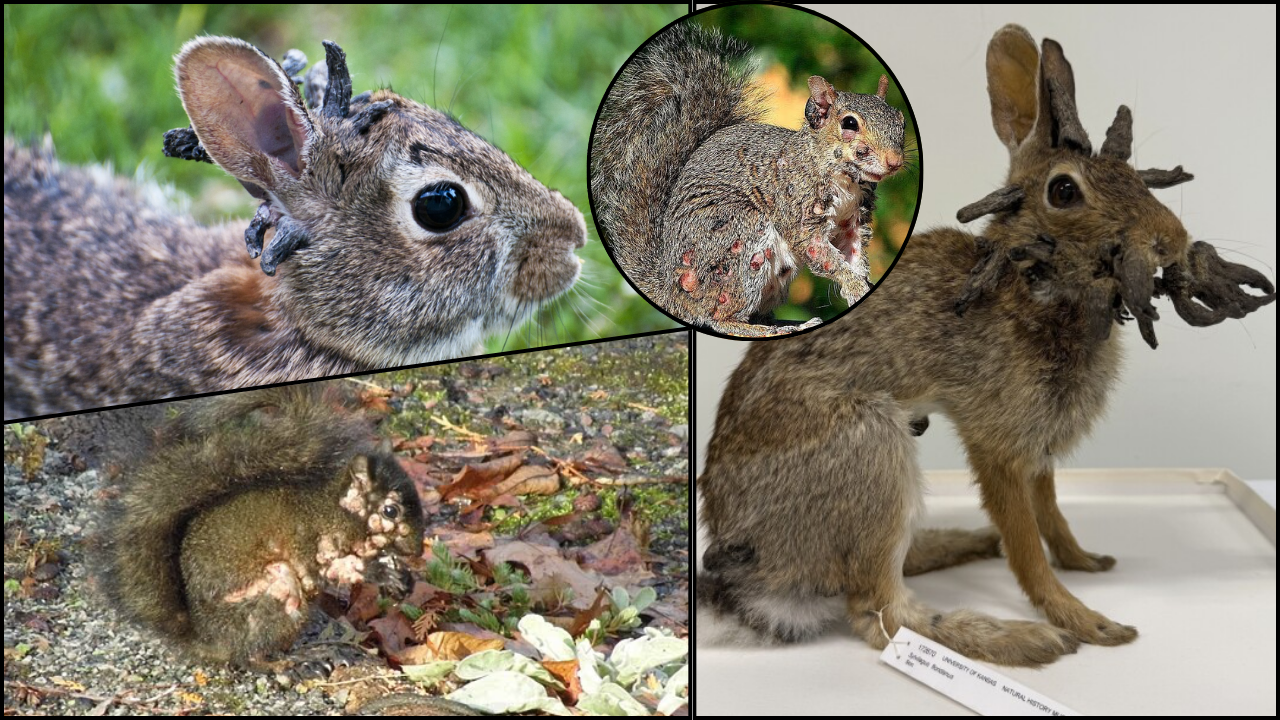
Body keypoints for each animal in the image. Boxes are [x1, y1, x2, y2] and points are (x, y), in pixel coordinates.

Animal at [95, 385, 427, 671]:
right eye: (390, 510)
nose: (418, 549)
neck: (338, 511)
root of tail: (209, 641)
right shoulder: (313, 541)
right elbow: (331, 571)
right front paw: (378, 571)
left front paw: (402, 579)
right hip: (276, 594)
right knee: (248, 656)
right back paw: (291, 662)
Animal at [591, 23, 907, 337]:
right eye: (849, 123)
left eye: (901, 121)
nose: (894, 161)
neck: (845, 180)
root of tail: (673, 289)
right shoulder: (798, 210)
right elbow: (821, 252)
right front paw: (854, 285)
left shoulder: (854, 221)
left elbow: (854, 255)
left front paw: (862, 285)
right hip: (739, 239)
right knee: (719, 318)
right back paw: (767, 330)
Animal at [696, 24, 1275, 666]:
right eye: (1064, 191)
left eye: (1139, 179)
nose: (1172, 242)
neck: (1028, 283)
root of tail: (755, 573)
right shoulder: (997, 444)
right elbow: (1026, 544)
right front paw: (1085, 620)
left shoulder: (1039, 450)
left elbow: (1051, 512)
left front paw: (1085, 561)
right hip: (874, 450)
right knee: (879, 612)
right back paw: (1019, 638)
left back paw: (966, 545)